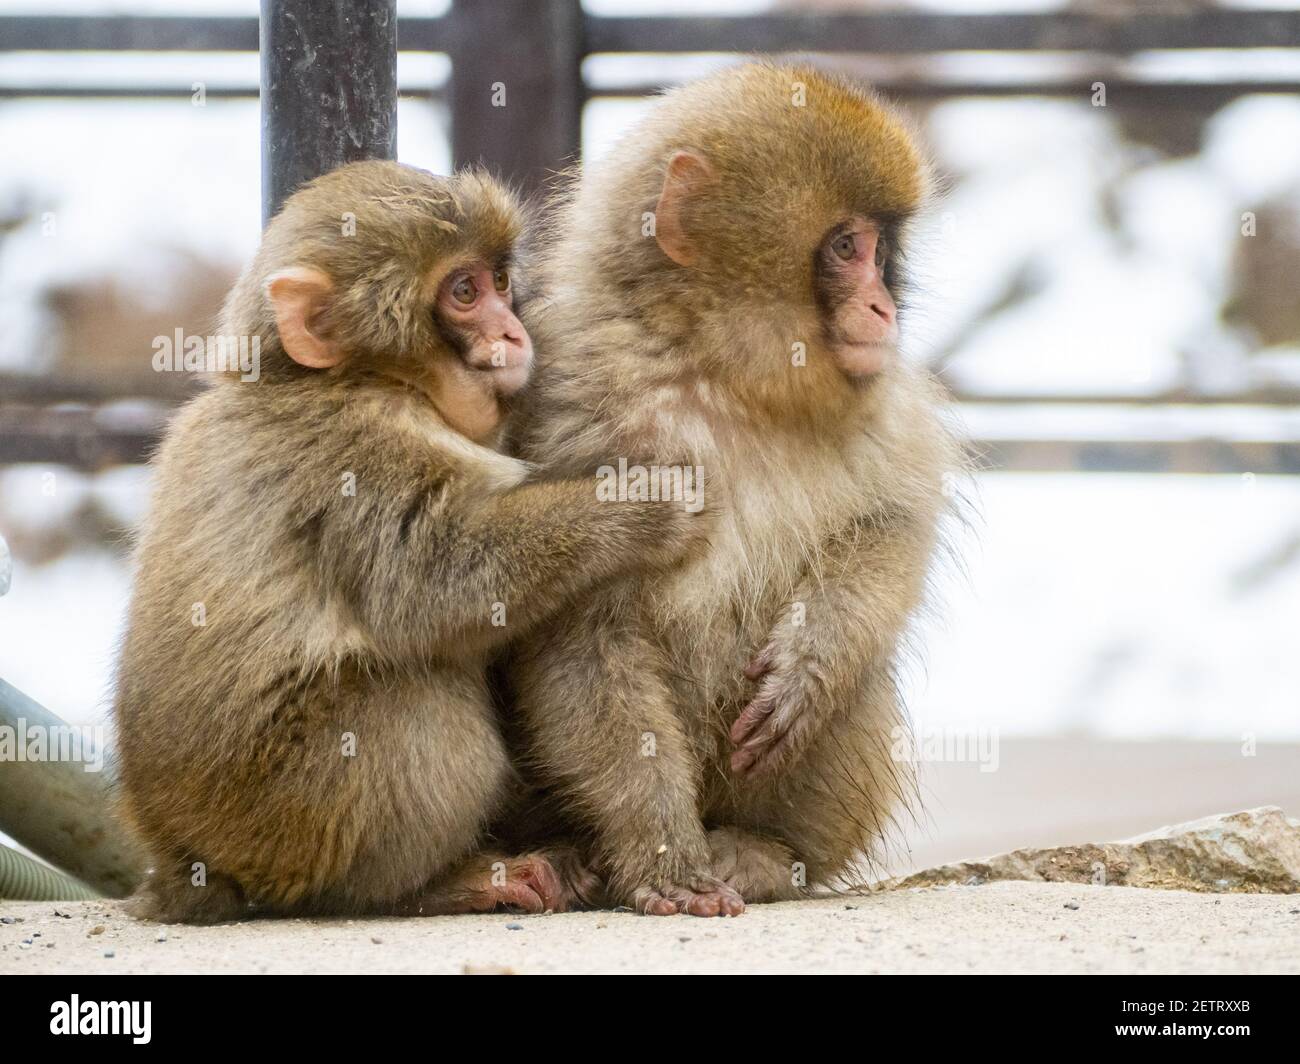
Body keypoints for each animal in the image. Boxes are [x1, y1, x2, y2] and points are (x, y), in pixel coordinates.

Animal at [112, 159, 706, 924]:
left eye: (500, 281)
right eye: (464, 292)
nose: (514, 331)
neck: (343, 379)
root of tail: (179, 862)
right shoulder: (358, 457)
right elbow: (432, 585)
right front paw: (638, 505)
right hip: (282, 820)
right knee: (416, 700)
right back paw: (424, 886)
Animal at [507, 62, 963, 916]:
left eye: (881, 250)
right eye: (847, 247)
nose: (884, 306)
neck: (719, 373)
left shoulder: (881, 397)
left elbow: (892, 522)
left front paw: (813, 662)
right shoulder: (566, 414)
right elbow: (582, 637)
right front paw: (661, 855)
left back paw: (768, 852)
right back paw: (547, 861)